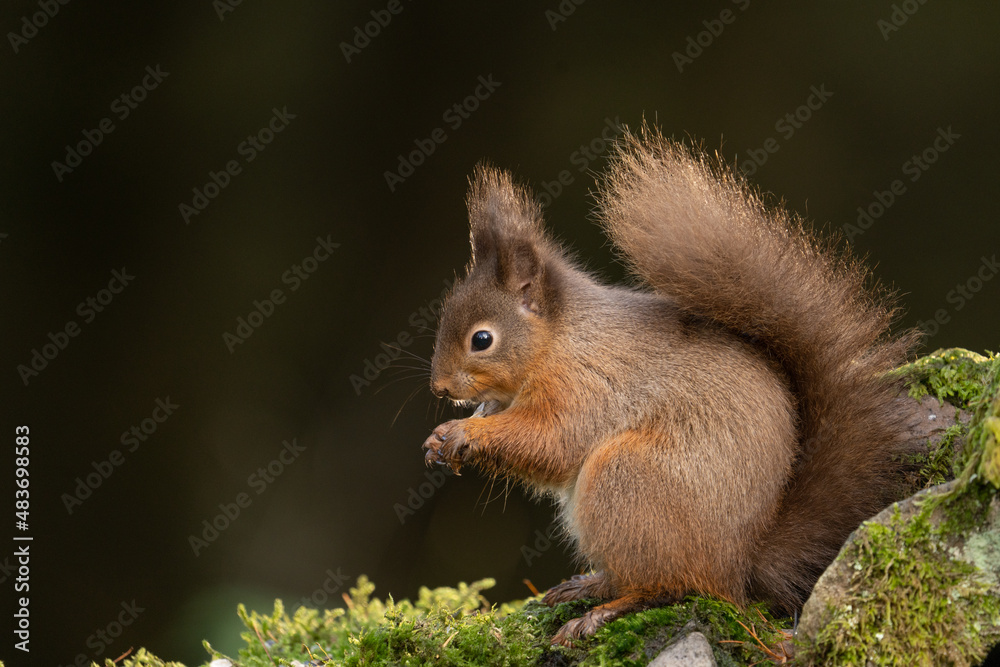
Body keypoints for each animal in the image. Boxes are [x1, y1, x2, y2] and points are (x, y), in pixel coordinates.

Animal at [421, 126, 918, 644]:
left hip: (627, 481)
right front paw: (441, 439)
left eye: (482, 340)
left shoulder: (587, 383)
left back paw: (599, 613)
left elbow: (552, 441)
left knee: (669, 585)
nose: (439, 389)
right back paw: (587, 586)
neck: (560, 339)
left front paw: (463, 433)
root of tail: (738, 567)